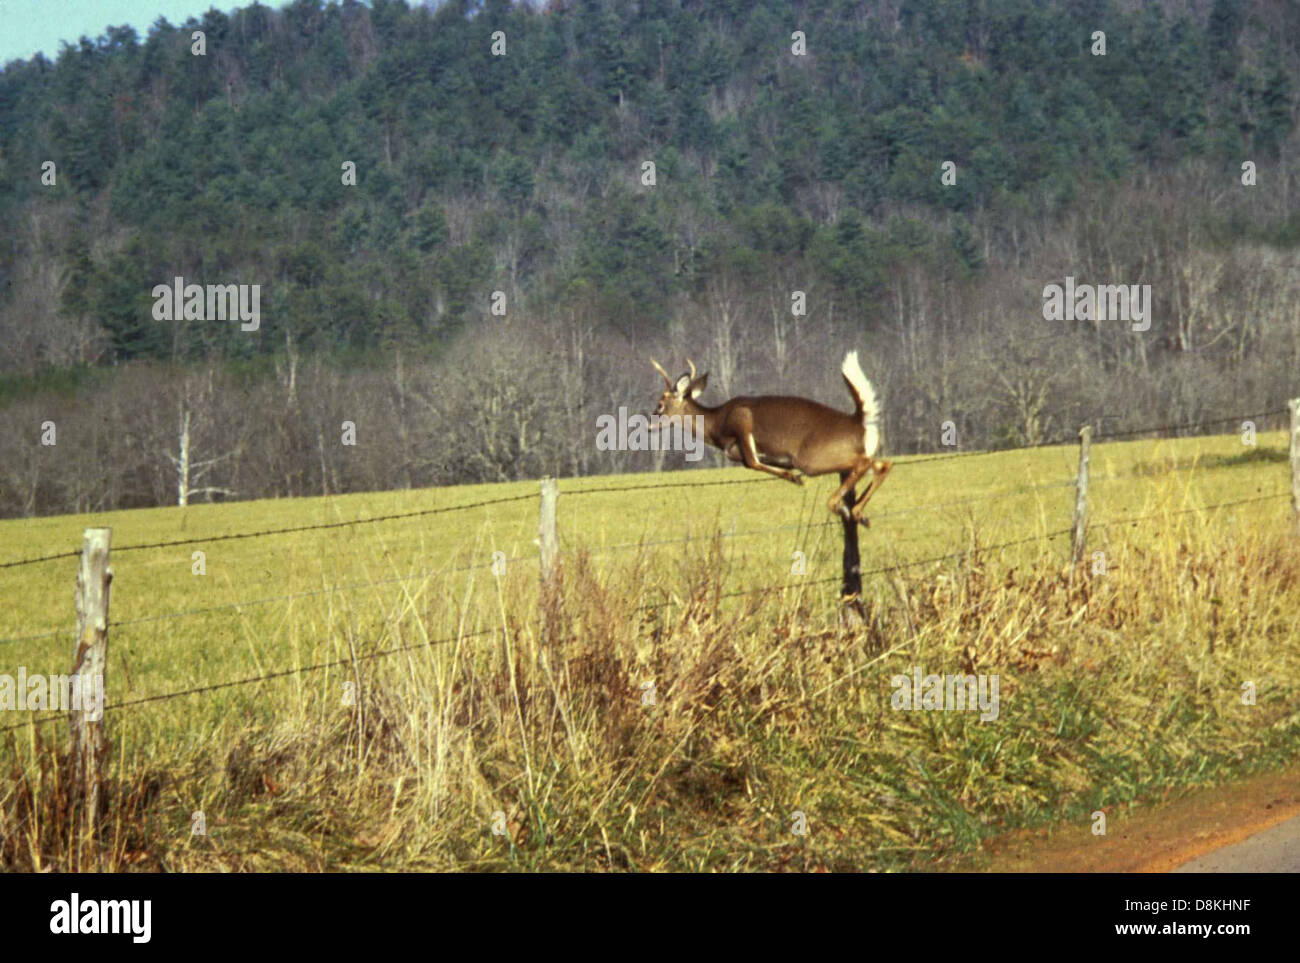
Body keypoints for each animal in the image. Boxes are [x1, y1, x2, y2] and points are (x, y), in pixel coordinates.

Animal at [651, 352, 891, 526]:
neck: (716, 423)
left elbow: (753, 462)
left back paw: (845, 508)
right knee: (882, 465)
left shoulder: (742, 421)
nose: (649, 423)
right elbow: (755, 462)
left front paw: (794, 478)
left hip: (812, 459)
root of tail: (858, 420)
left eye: (660, 404)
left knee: (867, 464)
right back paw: (858, 513)